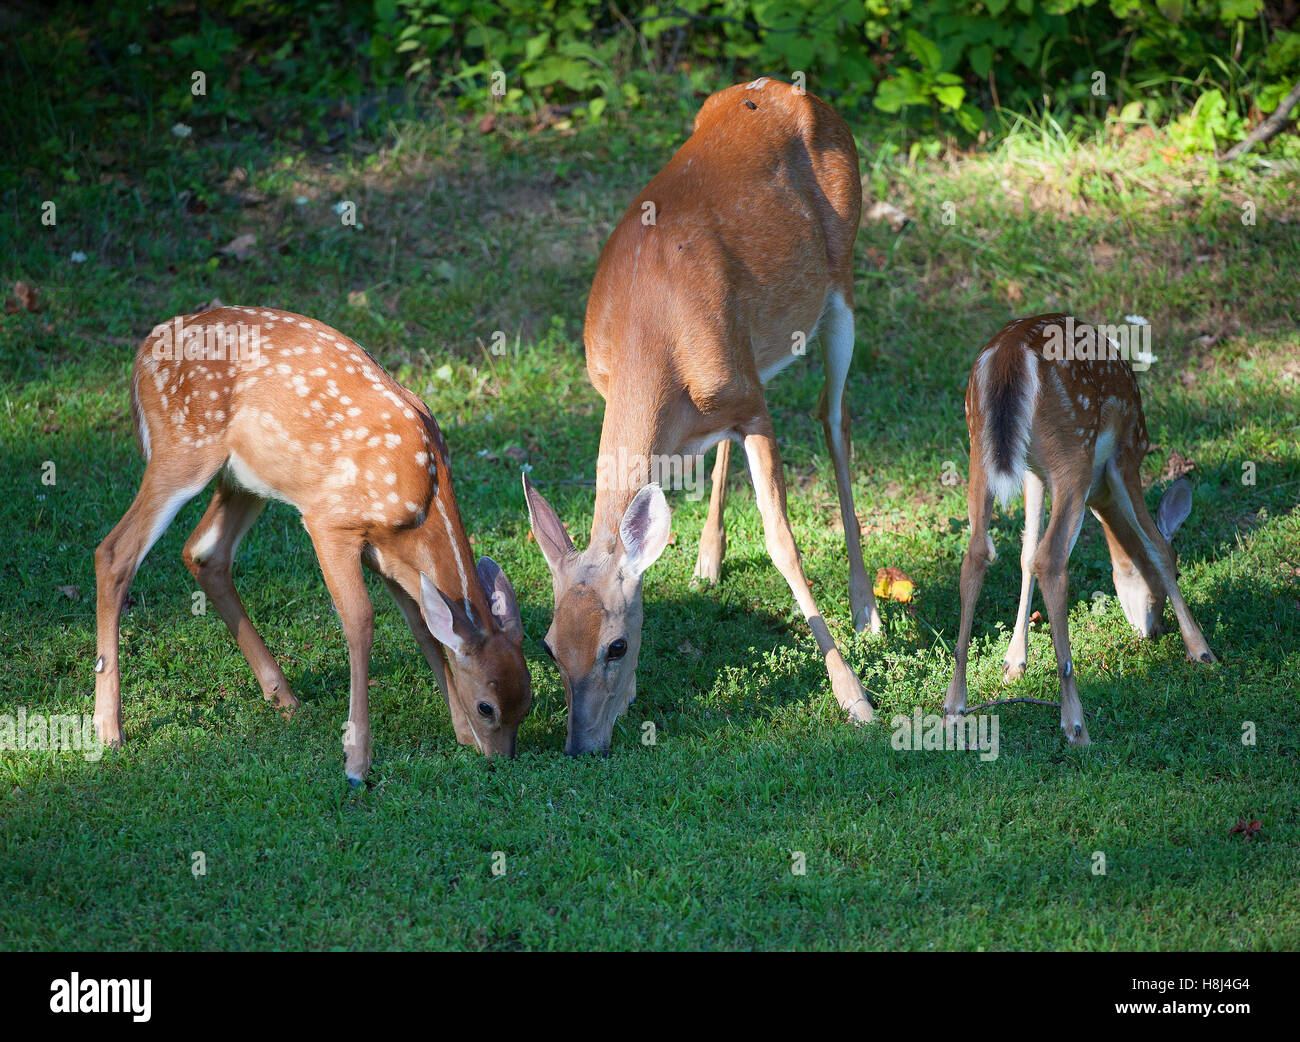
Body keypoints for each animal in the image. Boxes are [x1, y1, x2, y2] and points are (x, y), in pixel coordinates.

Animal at [93, 306, 532, 783]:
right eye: (487, 707)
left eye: (527, 704)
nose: (501, 759)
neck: (423, 499)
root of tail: (145, 350)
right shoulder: (330, 522)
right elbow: (360, 621)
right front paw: (356, 761)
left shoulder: (388, 554)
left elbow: (422, 626)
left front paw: (460, 734)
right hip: (183, 447)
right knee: (114, 552)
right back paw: (109, 730)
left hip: (245, 479)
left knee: (204, 552)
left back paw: (282, 696)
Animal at [522, 78, 881, 756]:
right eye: (550, 647)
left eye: (616, 646)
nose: (580, 746)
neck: (649, 335)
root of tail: (789, 88)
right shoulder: (724, 392)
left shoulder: (756, 407)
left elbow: (782, 542)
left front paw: (854, 697)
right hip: (756, 347)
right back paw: (708, 562)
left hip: (842, 281)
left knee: (835, 417)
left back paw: (867, 608)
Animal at [943, 313, 1216, 745]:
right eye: (1177, 571)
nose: (1155, 631)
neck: (1101, 498)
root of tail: (1011, 354)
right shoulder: (1124, 455)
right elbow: (1154, 544)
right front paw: (1201, 650)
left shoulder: (1035, 473)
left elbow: (1024, 554)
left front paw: (1014, 660)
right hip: (1074, 450)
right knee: (1052, 559)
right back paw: (1075, 723)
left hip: (980, 449)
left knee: (978, 553)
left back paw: (954, 706)